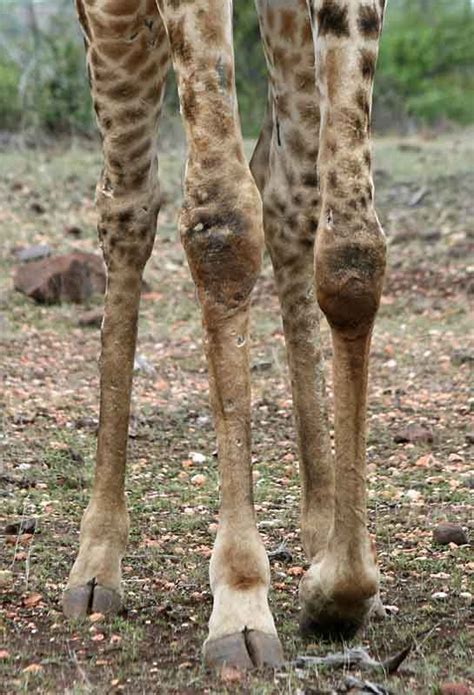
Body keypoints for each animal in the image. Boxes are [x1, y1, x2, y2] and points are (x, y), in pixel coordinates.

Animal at [62, 0, 387, 670]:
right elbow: (223, 225)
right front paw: (240, 599)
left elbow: (351, 251)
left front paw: (340, 589)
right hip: (111, 21)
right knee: (127, 204)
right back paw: (95, 565)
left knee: (290, 195)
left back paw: (320, 529)